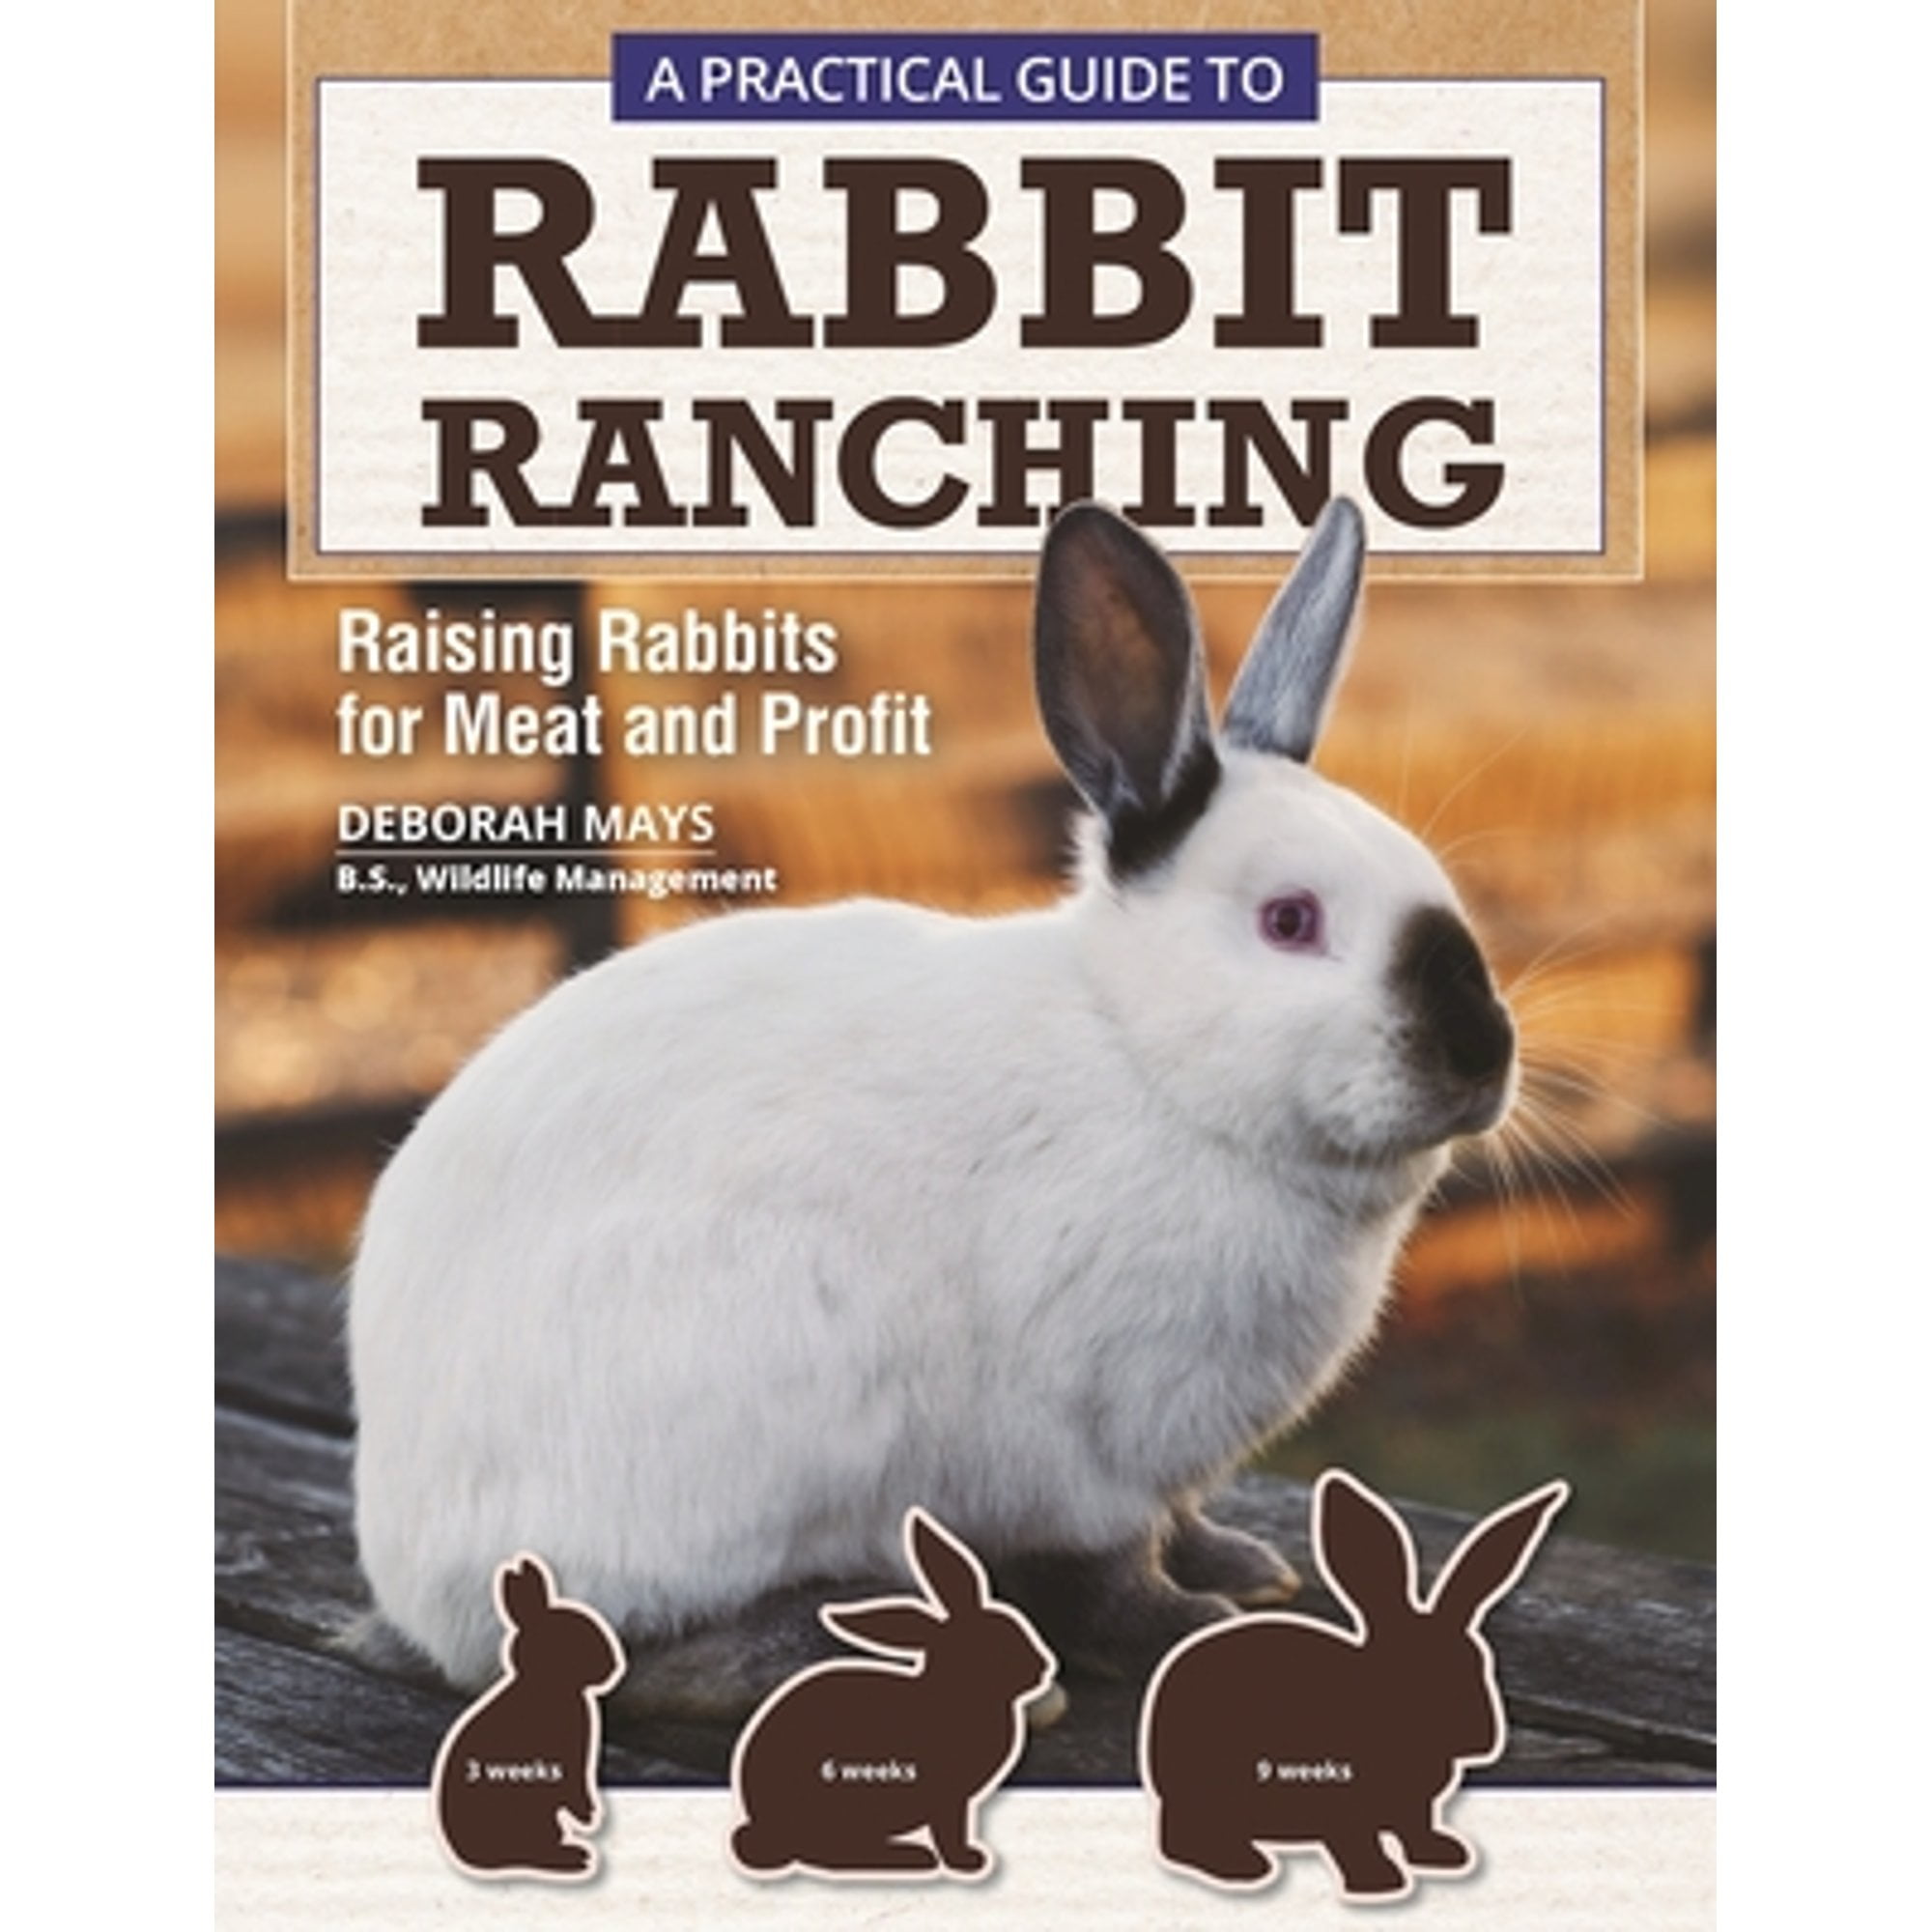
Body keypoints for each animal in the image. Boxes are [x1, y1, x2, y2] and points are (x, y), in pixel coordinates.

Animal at [348, 494, 1520, 1721]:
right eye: (1289, 921)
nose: (1480, 1054)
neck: (1147, 1059)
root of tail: (416, 1579)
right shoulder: (1083, 1449)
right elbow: (1111, 1570)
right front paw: (1189, 1623)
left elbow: (1178, 1522)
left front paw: (1244, 1567)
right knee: (647, 1652)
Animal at [1140, 1470, 1568, 1898]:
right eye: (1408, 1678)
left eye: (1480, 1664)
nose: (1481, 1738)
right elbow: (1354, 1844)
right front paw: (1379, 1883)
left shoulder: (1415, 1812)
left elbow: (1416, 1831)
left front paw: (1444, 1854)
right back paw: (1242, 1866)